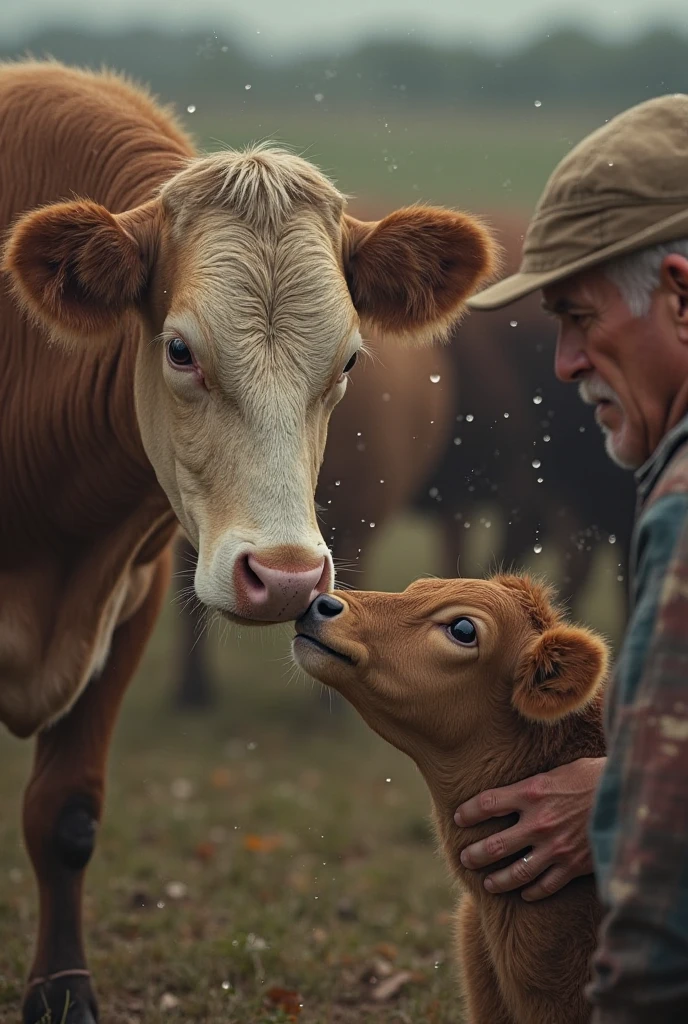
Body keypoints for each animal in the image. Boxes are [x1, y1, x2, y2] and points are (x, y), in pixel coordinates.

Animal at [0, 60, 495, 1023]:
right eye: (180, 350)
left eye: (349, 360)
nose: (288, 575)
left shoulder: (131, 601)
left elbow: (65, 815)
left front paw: (64, 991)